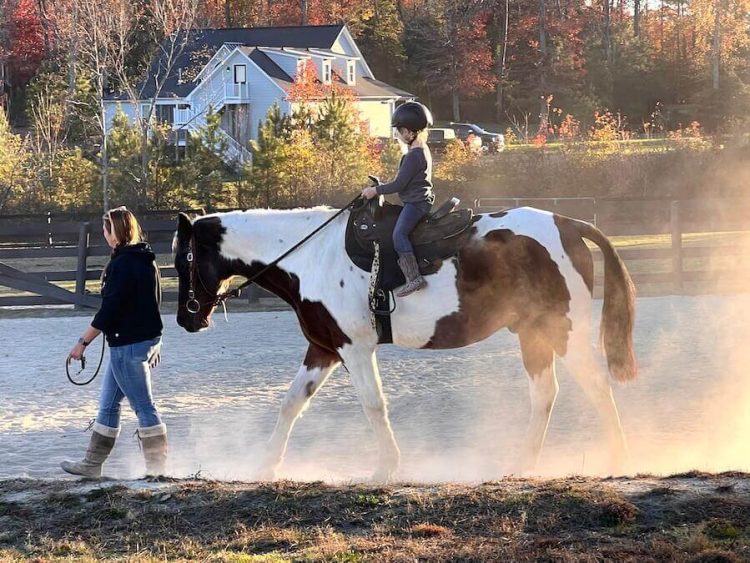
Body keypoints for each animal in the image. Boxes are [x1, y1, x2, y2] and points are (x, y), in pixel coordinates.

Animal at [173, 205, 637, 481]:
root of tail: (568, 224)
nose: (185, 319)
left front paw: (386, 468)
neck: (309, 258)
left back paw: (618, 457)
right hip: (533, 335)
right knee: (545, 394)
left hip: (563, 332)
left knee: (597, 387)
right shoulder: (324, 348)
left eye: (183, 260)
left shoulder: (354, 348)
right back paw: (523, 464)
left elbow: (373, 404)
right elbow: (291, 403)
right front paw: (264, 466)